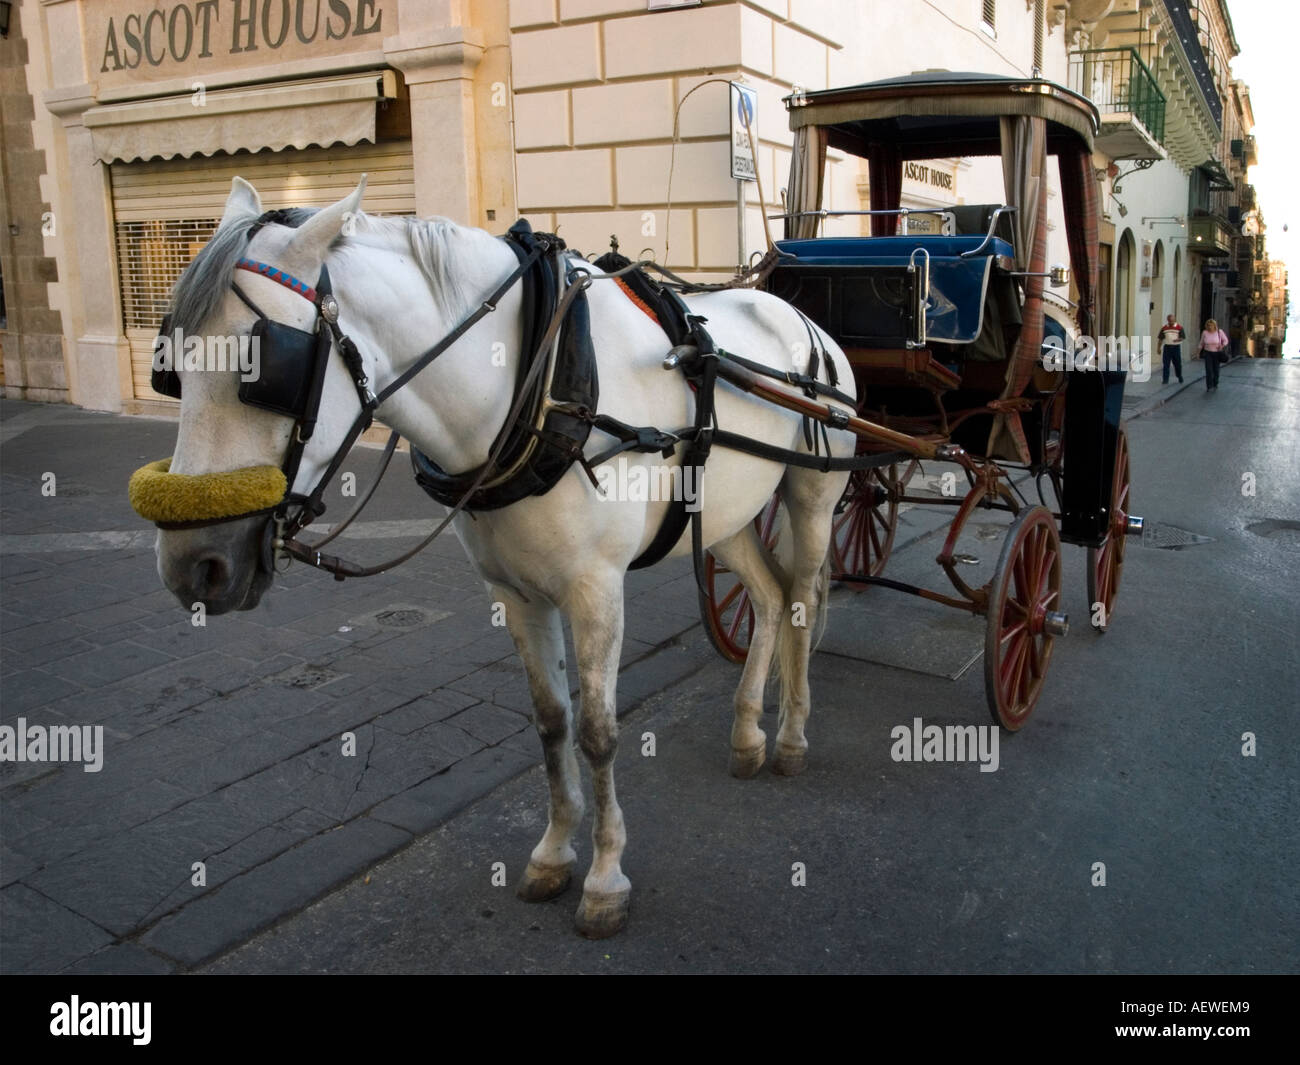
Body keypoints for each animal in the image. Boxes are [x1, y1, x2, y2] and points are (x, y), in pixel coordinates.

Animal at [141, 176, 856, 938]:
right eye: (171, 368)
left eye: (265, 369)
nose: (191, 566)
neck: (534, 385)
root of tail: (801, 320)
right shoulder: (515, 592)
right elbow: (551, 721)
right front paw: (553, 853)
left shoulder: (596, 588)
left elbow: (598, 732)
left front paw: (605, 878)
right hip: (729, 513)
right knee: (768, 598)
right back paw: (749, 732)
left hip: (812, 499)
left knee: (803, 600)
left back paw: (791, 737)